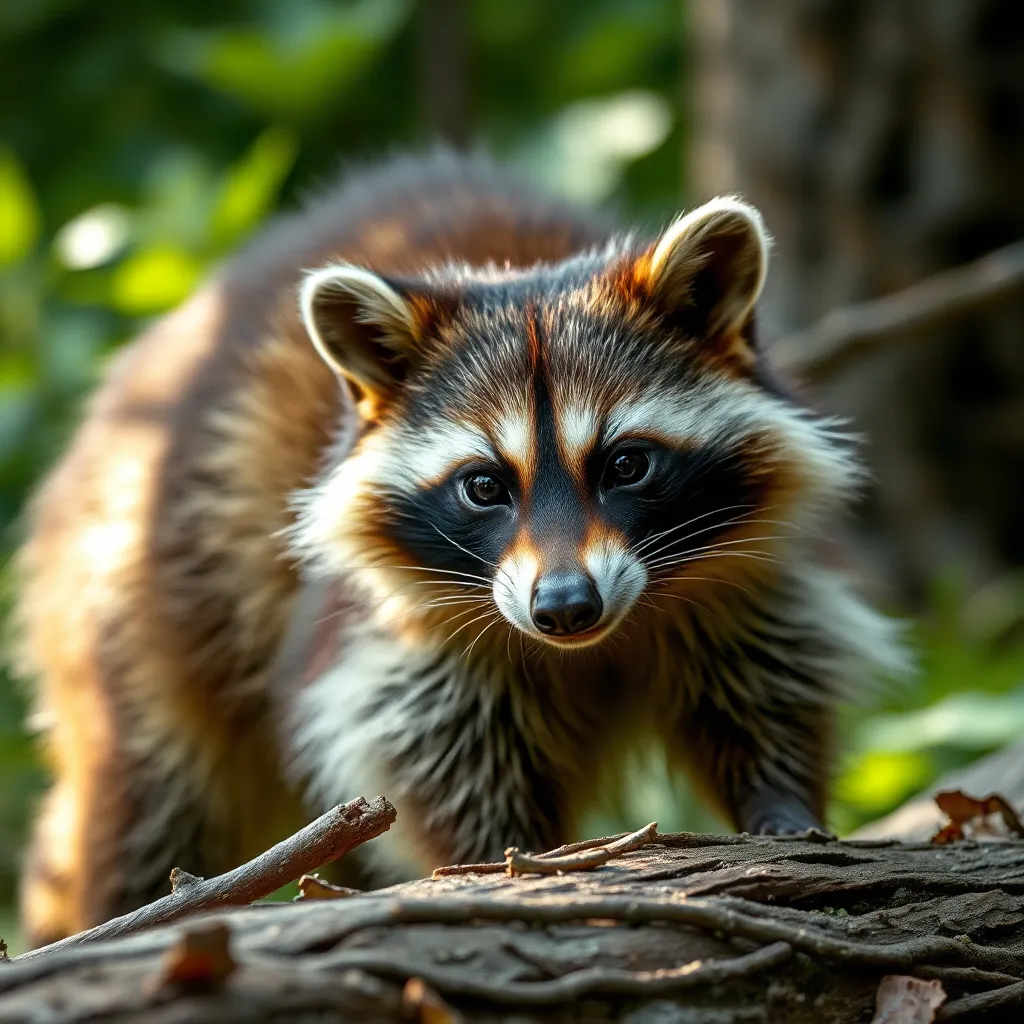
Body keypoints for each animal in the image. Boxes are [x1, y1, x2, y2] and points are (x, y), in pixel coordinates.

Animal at [14, 152, 904, 946]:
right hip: (137, 596)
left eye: (626, 464)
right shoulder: (400, 641)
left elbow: (766, 675)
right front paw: (504, 858)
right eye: (484, 485)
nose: (564, 608)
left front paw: (780, 801)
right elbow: (432, 749)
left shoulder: (745, 576)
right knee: (157, 794)